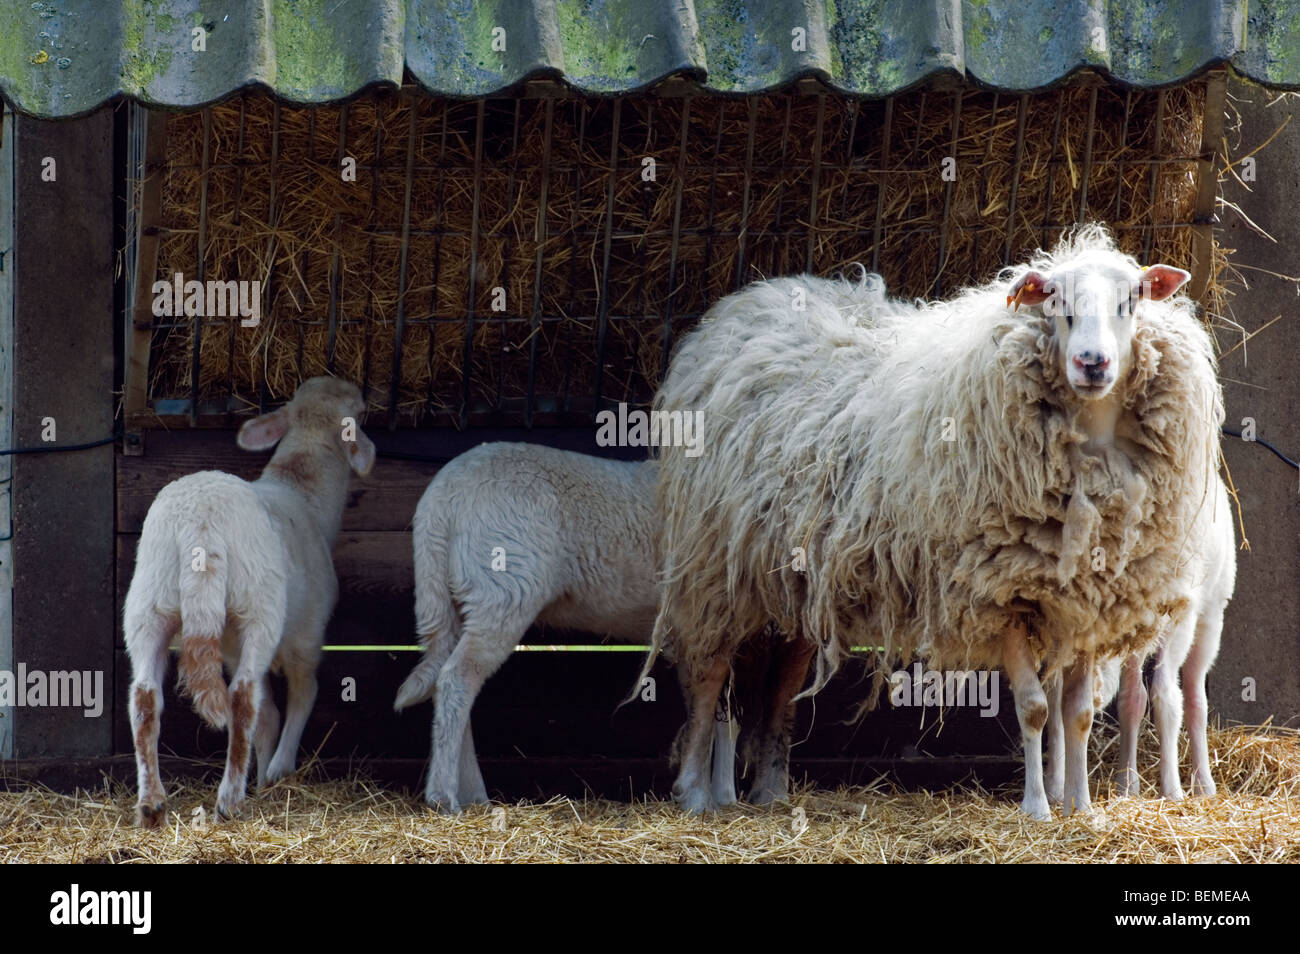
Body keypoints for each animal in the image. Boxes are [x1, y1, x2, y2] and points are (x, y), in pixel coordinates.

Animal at [123, 377, 375, 826]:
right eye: (360, 413)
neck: (304, 487)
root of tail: (201, 522)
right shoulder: (306, 635)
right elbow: (301, 695)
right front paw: (277, 770)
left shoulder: (229, 646)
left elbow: (270, 713)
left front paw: (266, 772)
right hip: (259, 609)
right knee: (242, 697)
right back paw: (230, 799)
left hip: (149, 600)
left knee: (145, 696)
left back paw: (152, 803)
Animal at [392, 442, 738, 813]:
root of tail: (441, 499)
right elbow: (717, 714)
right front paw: (709, 795)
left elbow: (713, 713)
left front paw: (715, 792)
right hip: (501, 588)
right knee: (458, 678)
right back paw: (444, 797)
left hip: (453, 597)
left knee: (451, 678)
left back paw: (471, 794)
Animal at [1046, 475, 1236, 802]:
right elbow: (1129, 700)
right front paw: (1124, 785)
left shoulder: (1178, 616)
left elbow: (1167, 696)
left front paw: (1172, 789)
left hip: (1210, 614)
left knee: (1195, 697)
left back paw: (1202, 783)